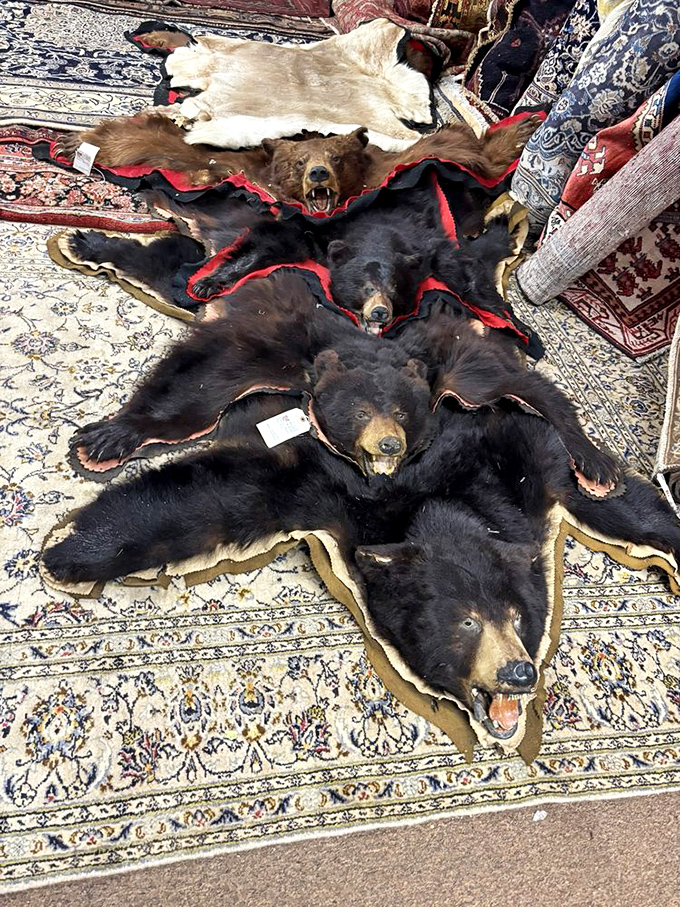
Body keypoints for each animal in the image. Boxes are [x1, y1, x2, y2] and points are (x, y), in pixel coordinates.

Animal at [42, 288, 680, 739]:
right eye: (466, 622)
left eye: (518, 616)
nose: (519, 674)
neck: (441, 503)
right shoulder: (329, 489)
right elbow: (226, 492)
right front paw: (67, 552)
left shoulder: (525, 466)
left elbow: (618, 505)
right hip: (265, 351)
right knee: (196, 387)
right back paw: (107, 441)